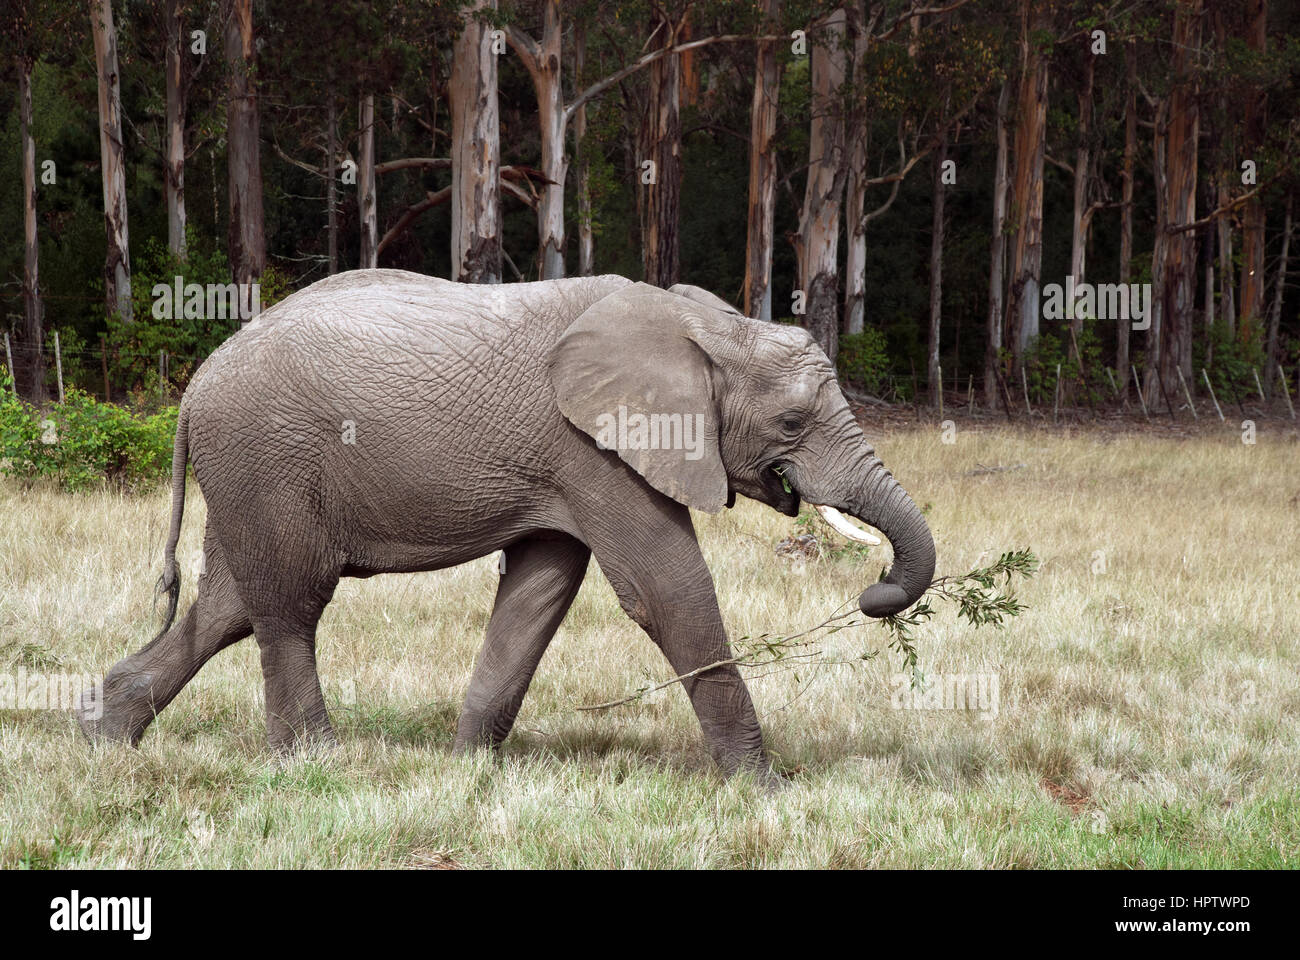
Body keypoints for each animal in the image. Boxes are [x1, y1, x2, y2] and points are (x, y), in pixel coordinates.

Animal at [77, 270, 935, 781]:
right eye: (791, 422)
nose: (874, 594)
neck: (703, 323)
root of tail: (194, 388)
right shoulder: (594, 449)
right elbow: (665, 590)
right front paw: (761, 787)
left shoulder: (566, 463)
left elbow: (539, 591)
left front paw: (465, 772)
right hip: (267, 456)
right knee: (289, 604)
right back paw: (317, 764)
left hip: (249, 474)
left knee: (230, 606)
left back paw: (104, 735)